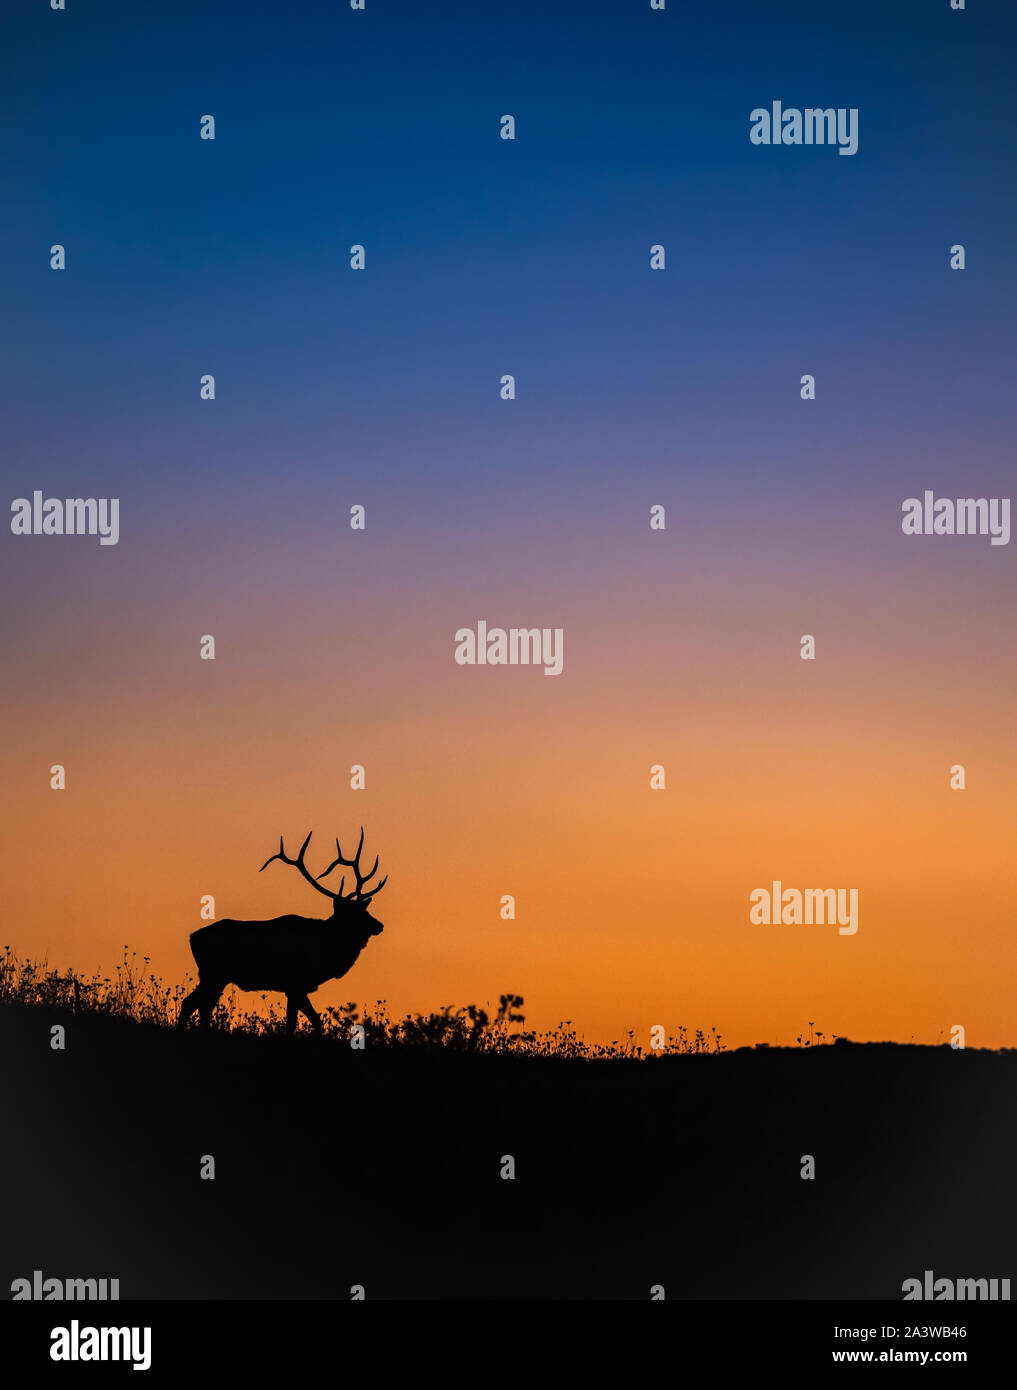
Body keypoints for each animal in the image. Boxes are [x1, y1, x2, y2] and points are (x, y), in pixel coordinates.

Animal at [177, 828, 387, 1036]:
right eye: (356, 913)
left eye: (364, 909)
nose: (379, 925)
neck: (324, 951)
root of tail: (192, 937)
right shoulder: (295, 984)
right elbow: (302, 1022)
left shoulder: (294, 988)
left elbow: (306, 1021)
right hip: (214, 973)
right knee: (192, 1004)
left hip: (215, 976)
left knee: (200, 1006)